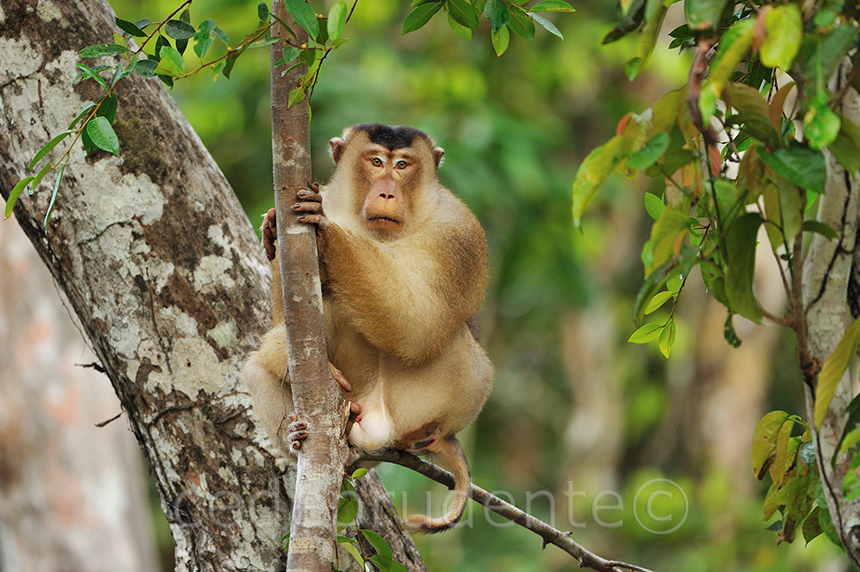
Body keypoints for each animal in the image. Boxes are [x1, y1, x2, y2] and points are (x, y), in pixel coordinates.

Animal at [242, 123, 493, 534]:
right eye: (376, 161)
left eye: (403, 165)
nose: (387, 192)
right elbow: (283, 320)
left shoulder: (457, 231)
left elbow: (418, 324)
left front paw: (326, 230)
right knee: (258, 364)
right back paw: (308, 438)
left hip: (427, 401)